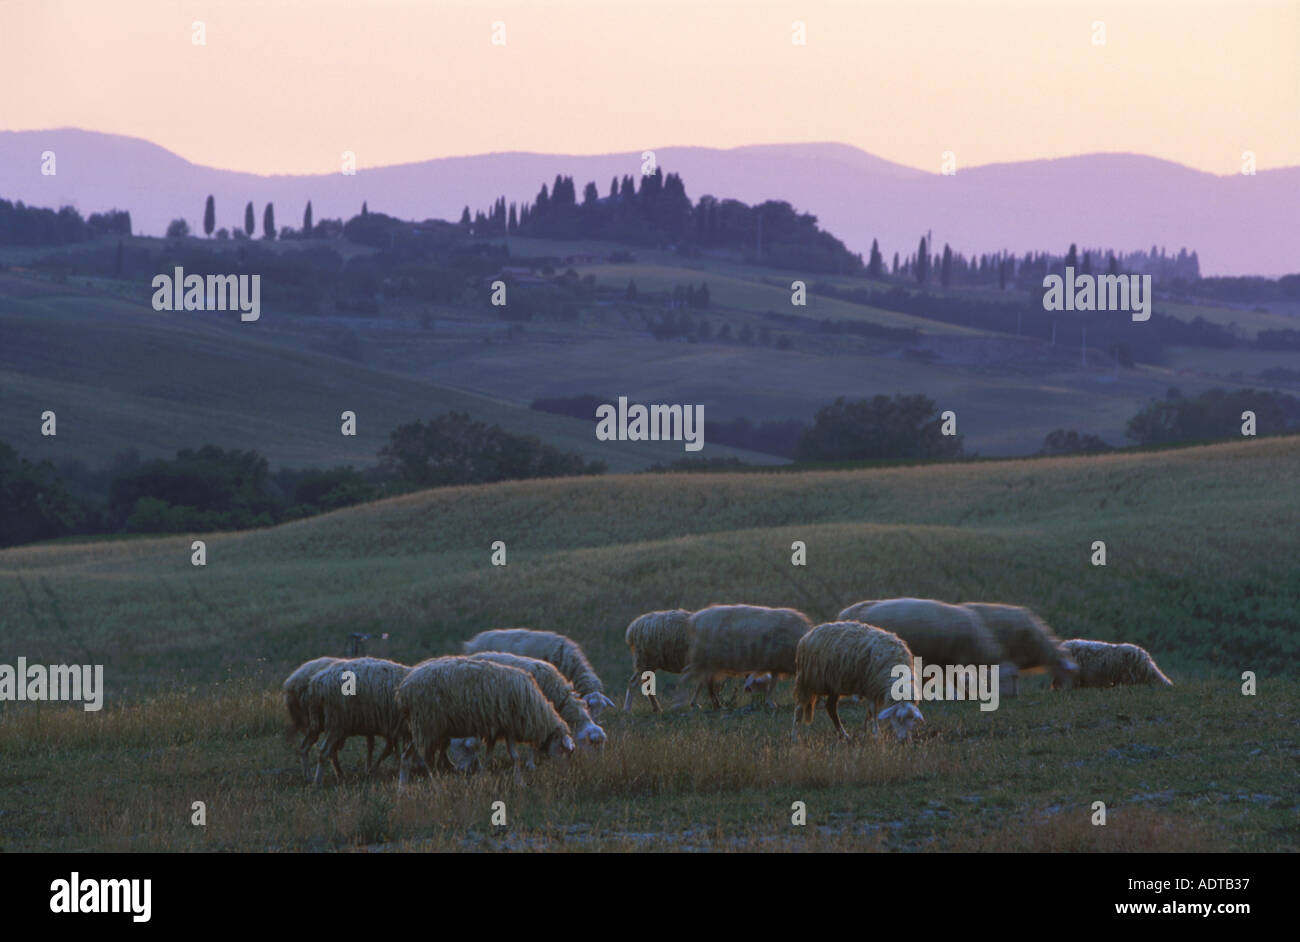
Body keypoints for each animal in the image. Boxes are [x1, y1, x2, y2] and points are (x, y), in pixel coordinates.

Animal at [396, 656, 575, 785]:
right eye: (563, 749)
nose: (564, 775)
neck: (537, 710)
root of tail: (403, 689)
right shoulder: (509, 726)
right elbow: (515, 756)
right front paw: (520, 782)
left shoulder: (495, 729)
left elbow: (488, 756)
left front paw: (482, 777)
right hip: (428, 724)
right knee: (427, 761)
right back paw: (437, 787)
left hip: (421, 727)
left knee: (405, 757)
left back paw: (402, 789)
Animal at [675, 604, 813, 709]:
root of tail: (695, 619)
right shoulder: (775, 662)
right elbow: (771, 684)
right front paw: (770, 703)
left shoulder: (775, 665)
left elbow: (772, 684)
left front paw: (769, 702)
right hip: (703, 659)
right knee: (689, 679)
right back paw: (684, 702)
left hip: (708, 662)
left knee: (702, 682)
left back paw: (706, 703)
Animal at [792, 621, 925, 742]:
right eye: (899, 718)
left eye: (913, 720)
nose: (904, 740)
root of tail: (807, 636)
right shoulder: (871, 686)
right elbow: (873, 711)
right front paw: (877, 734)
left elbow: (869, 713)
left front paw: (865, 731)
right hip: (809, 680)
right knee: (799, 708)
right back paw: (795, 737)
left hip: (834, 683)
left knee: (830, 707)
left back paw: (845, 736)